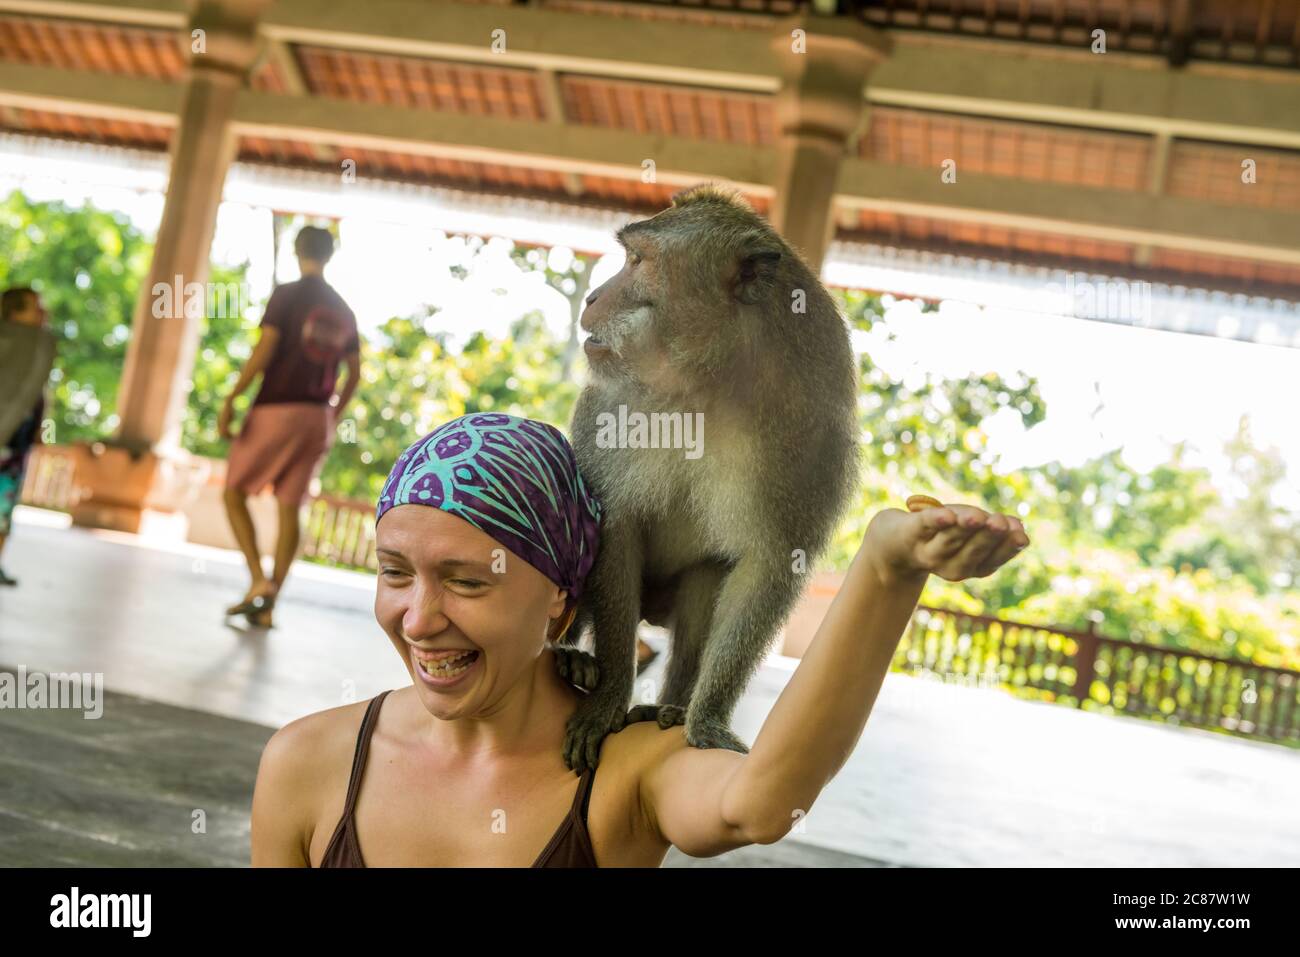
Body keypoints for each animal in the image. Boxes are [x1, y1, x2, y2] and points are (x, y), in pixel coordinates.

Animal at [555, 182, 860, 773]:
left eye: (636, 261)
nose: (593, 297)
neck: (705, 387)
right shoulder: (609, 407)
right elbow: (614, 530)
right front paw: (608, 696)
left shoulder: (812, 439)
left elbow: (769, 563)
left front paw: (708, 719)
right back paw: (571, 659)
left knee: (704, 580)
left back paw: (670, 705)